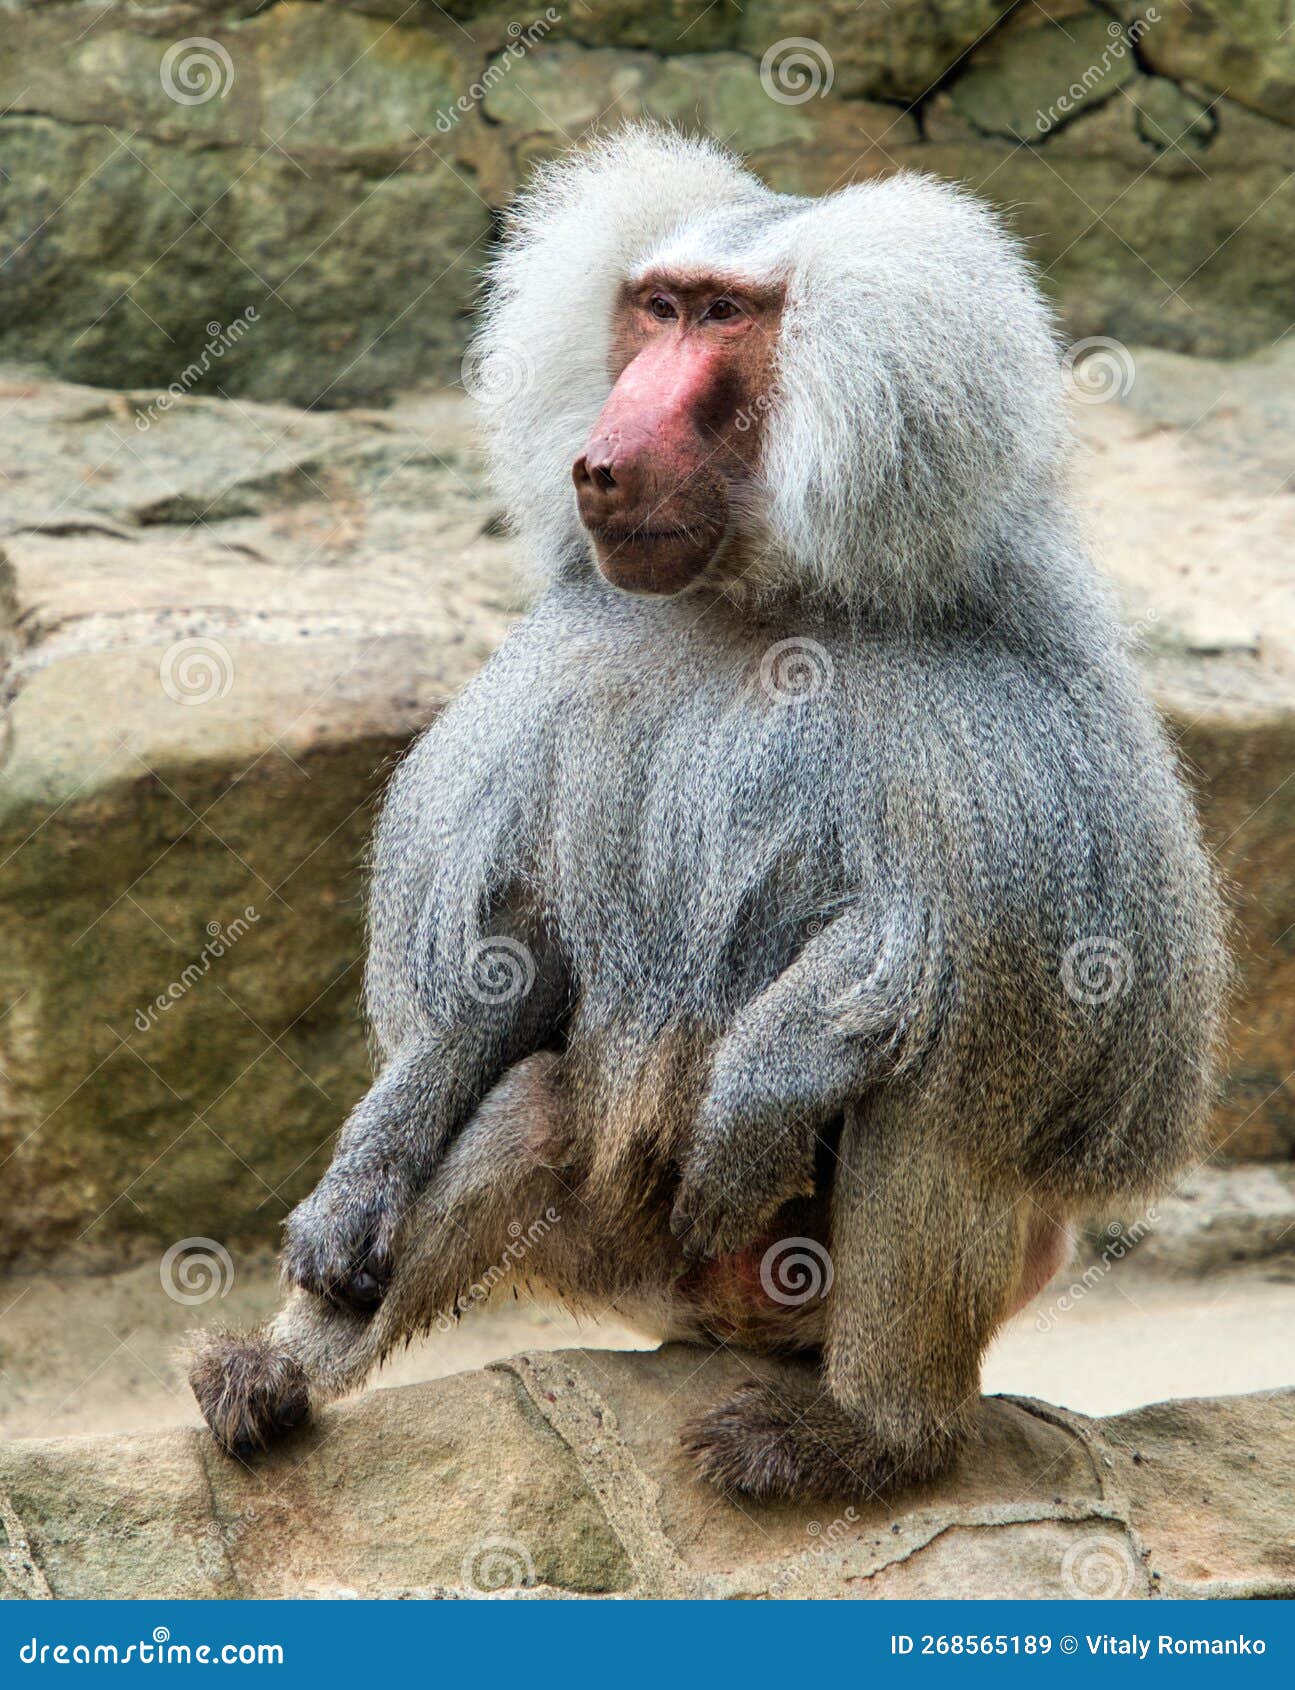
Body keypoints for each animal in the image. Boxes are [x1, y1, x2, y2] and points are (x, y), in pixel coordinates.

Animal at [189, 127, 1226, 1503]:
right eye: (655, 306)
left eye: (726, 318)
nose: (597, 460)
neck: (752, 599)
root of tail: (732, 1323)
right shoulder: (572, 678)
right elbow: (513, 954)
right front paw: (352, 1189)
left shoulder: (1014, 720)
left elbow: (996, 957)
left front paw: (745, 1109)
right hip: (628, 1265)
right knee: (533, 1102)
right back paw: (277, 1377)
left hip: (927, 1271)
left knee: (933, 1074)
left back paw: (866, 1435)